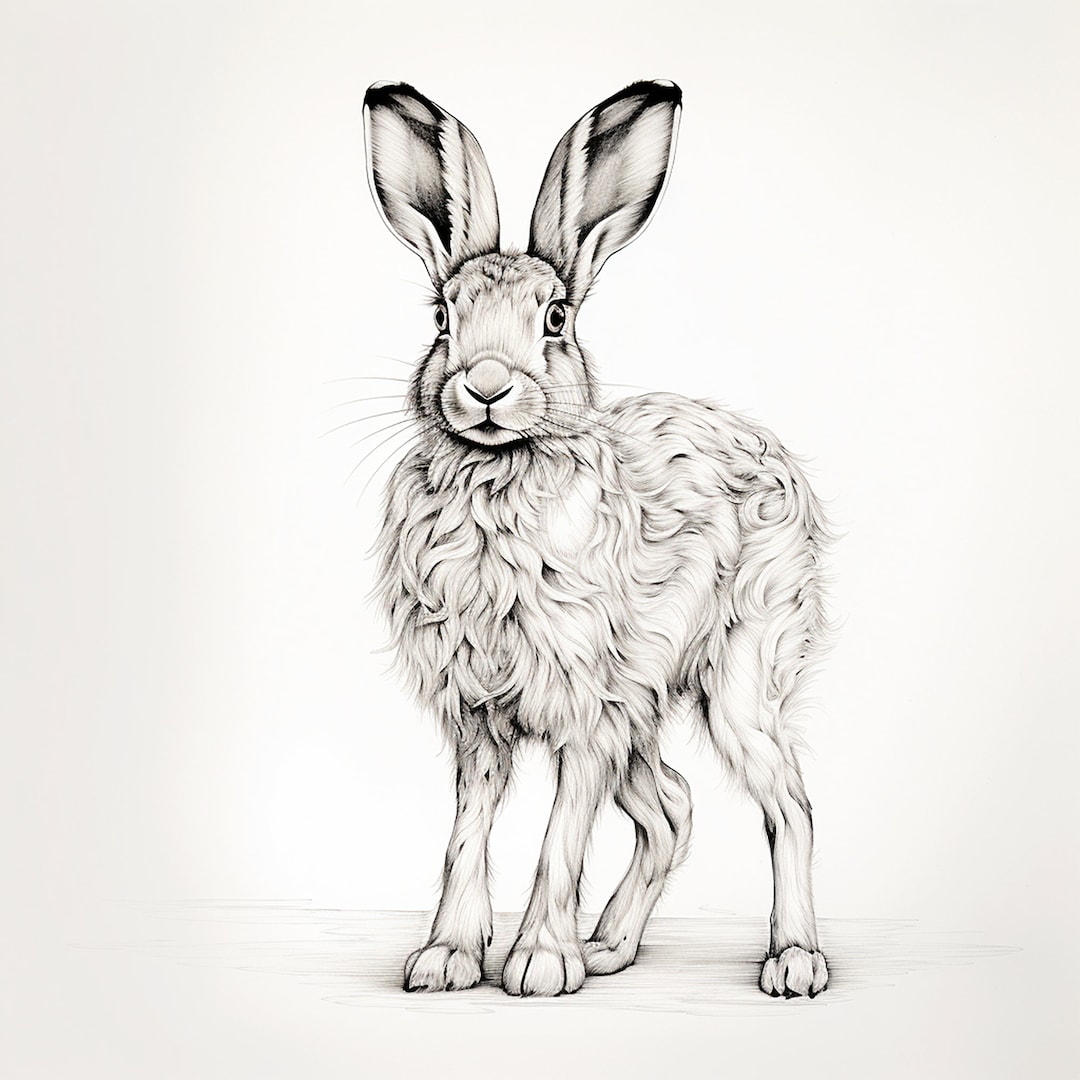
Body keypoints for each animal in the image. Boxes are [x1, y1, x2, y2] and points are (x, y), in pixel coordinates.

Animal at [363, 79, 830, 998]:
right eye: (441, 318)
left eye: (555, 318)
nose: (485, 386)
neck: (498, 473)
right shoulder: (482, 714)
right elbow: (466, 833)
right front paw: (446, 960)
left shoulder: (584, 704)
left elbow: (559, 835)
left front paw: (539, 964)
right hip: (642, 710)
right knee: (675, 804)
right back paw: (610, 946)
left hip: (738, 677)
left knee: (787, 803)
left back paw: (792, 962)